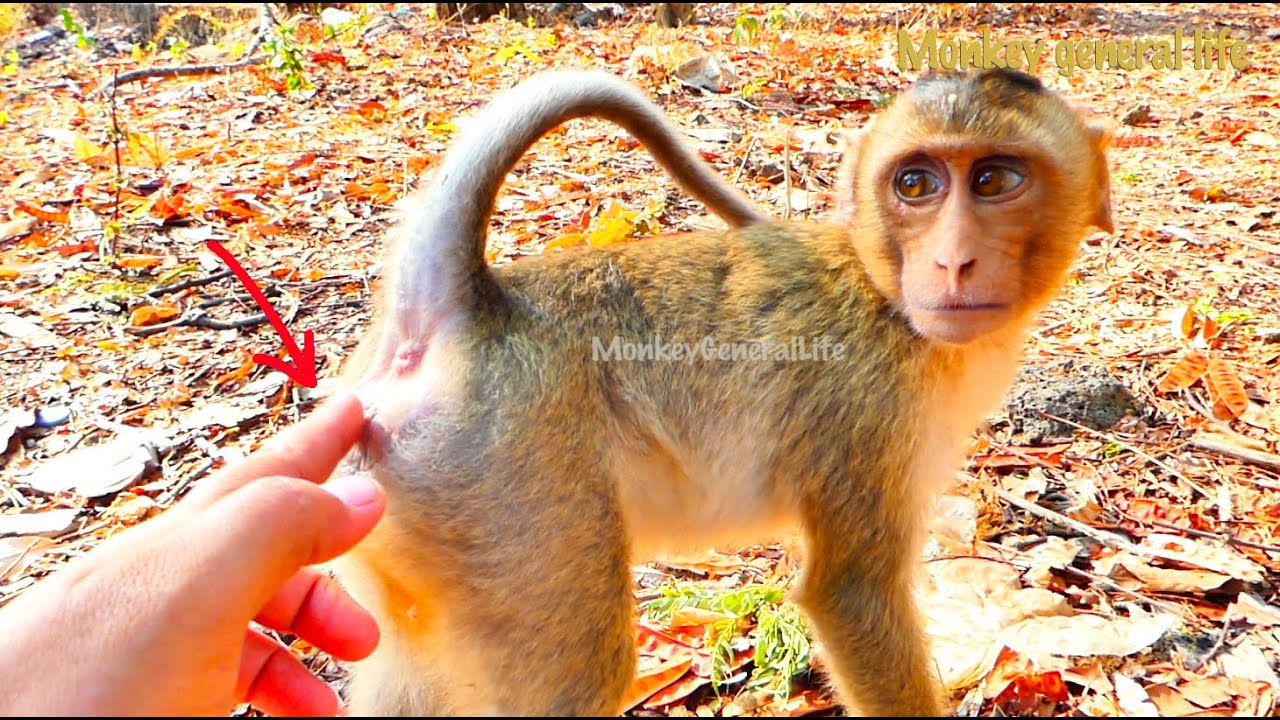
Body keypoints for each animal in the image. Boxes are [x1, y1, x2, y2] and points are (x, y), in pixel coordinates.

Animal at [331, 68, 1113, 716]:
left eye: (995, 180)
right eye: (916, 185)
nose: (954, 262)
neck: (886, 294)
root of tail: (468, 309)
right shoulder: (869, 407)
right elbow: (851, 593)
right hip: (507, 490)